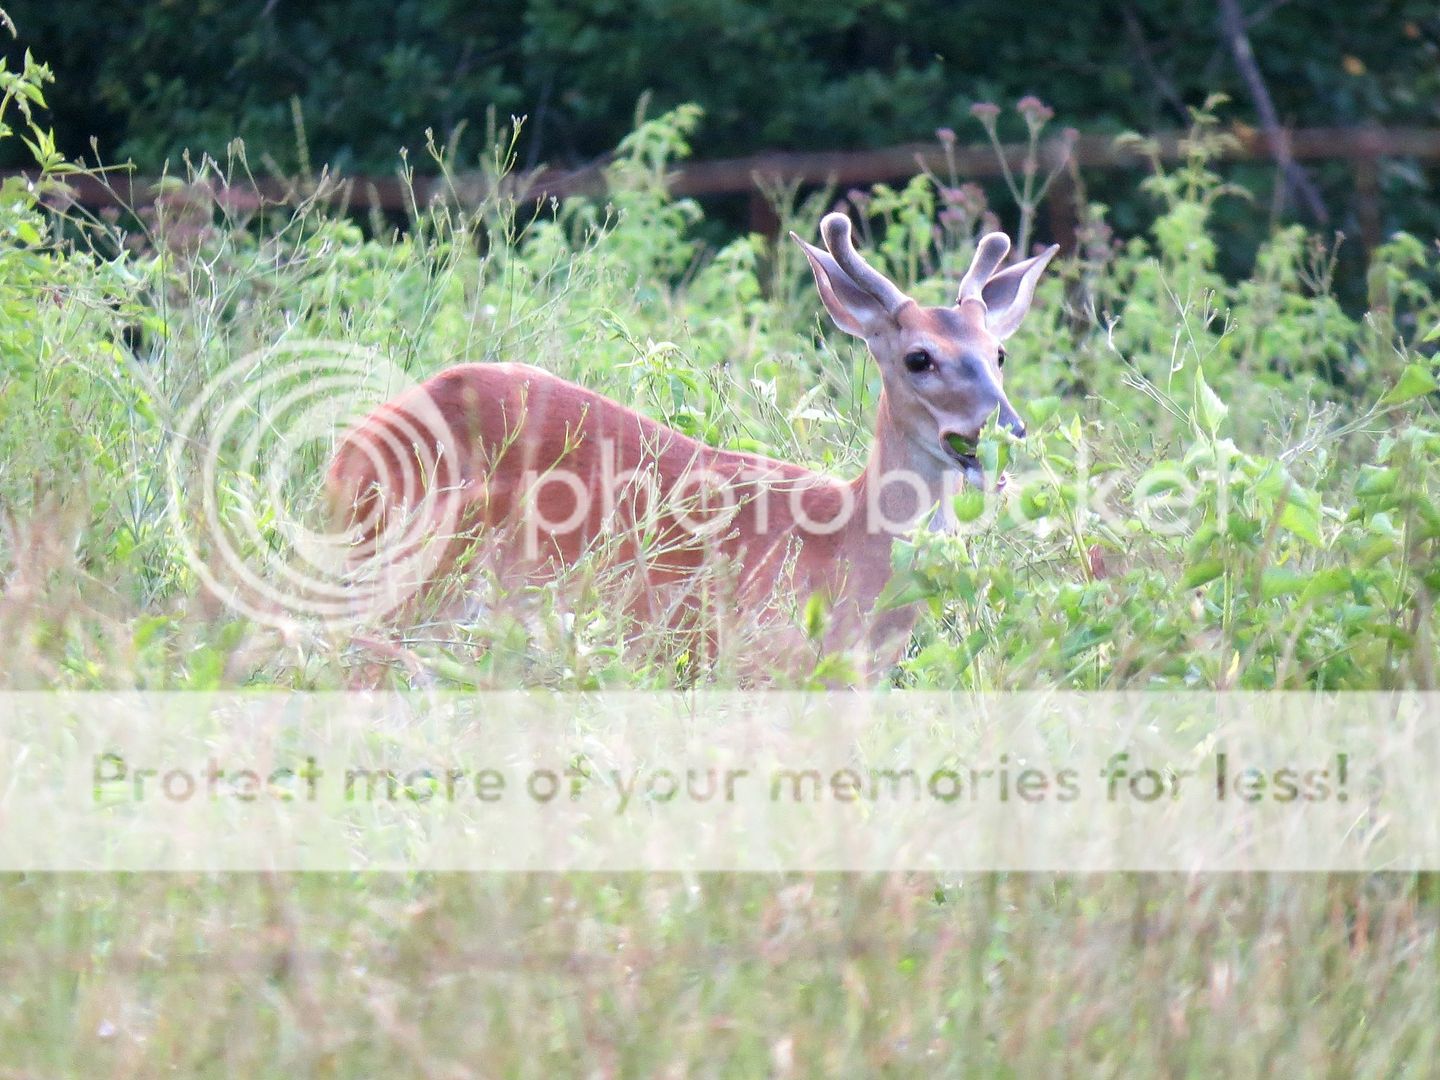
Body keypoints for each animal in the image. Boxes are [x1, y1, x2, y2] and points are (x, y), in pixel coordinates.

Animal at [326, 212, 1057, 677]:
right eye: (917, 358)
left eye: (998, 352)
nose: (1005, 429)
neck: (845, 549)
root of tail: (347, 453)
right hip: (422, 575)